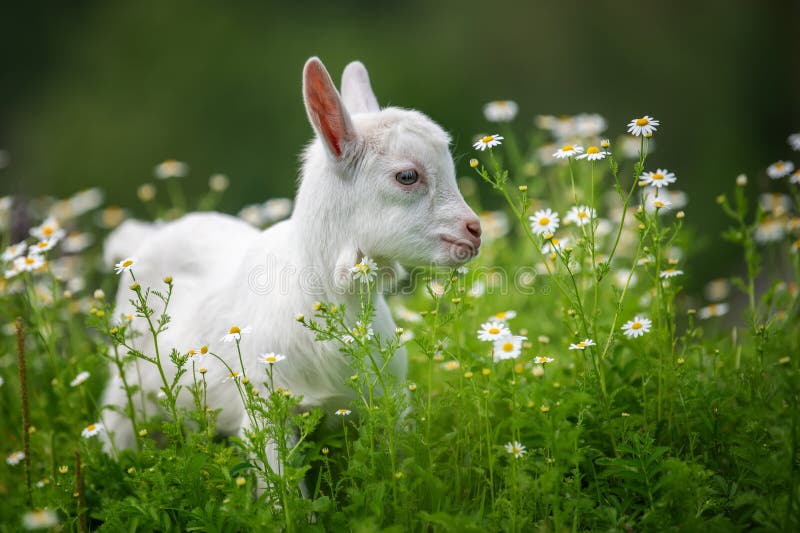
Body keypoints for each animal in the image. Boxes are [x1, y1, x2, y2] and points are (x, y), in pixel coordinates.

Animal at [100, 57, 482, 482]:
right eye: (408, 176)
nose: (475, 230)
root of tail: (142, 240)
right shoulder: (266, 412)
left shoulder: (389, 401)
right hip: (126, 389)